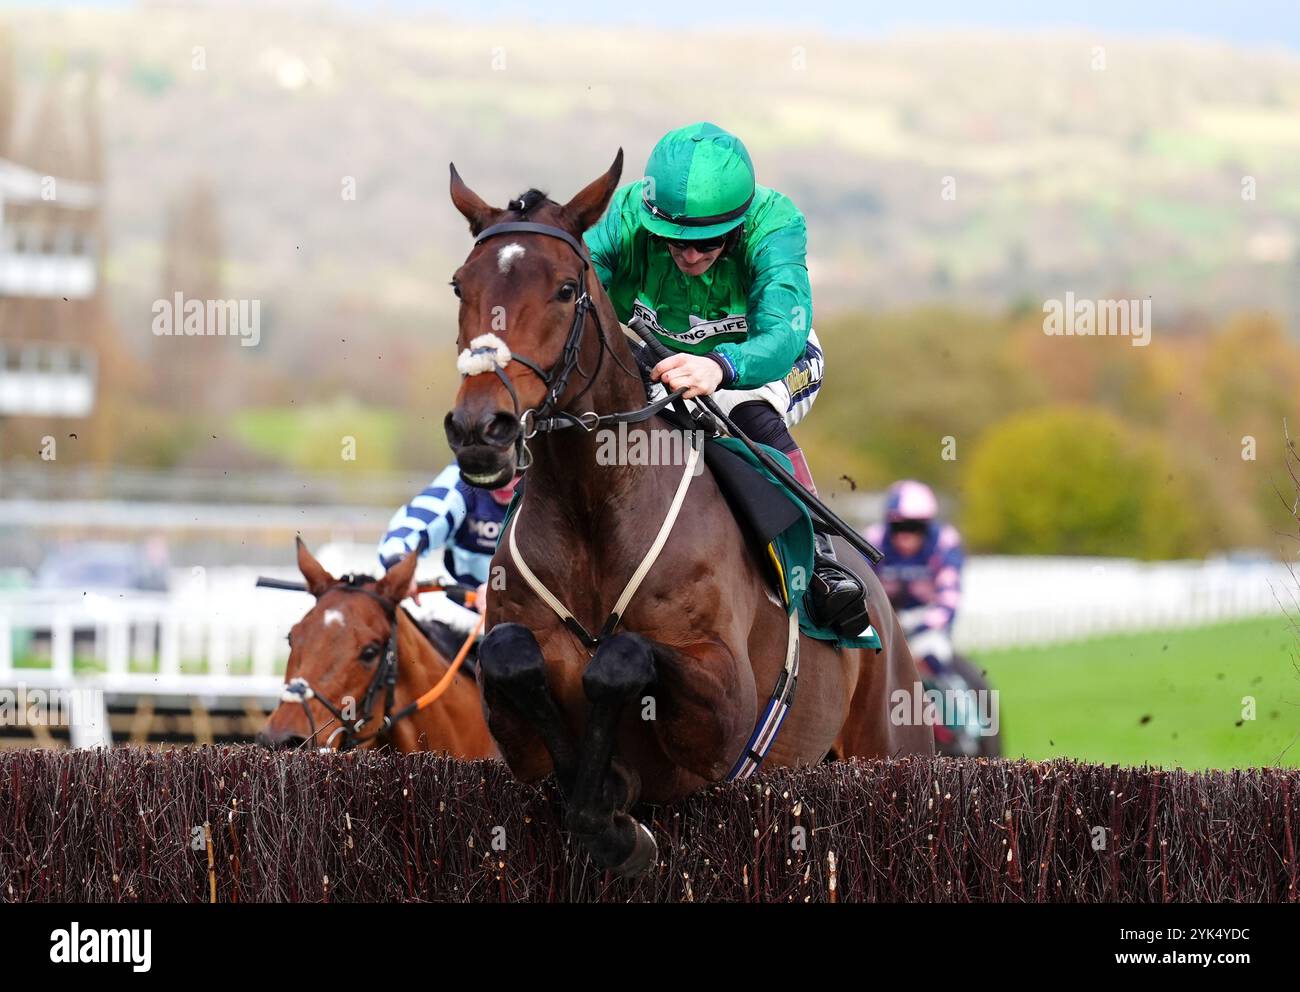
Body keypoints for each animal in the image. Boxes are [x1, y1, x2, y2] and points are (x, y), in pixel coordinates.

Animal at [443, 150, 933, 874]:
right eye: (460, 286)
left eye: (565, 288)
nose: (481, 428)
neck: (594, 509)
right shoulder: (513, 729)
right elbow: (512, 657)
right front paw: (605, 799)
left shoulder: (724, 706)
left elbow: (621, 657)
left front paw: (614, 817)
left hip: (892, 743)